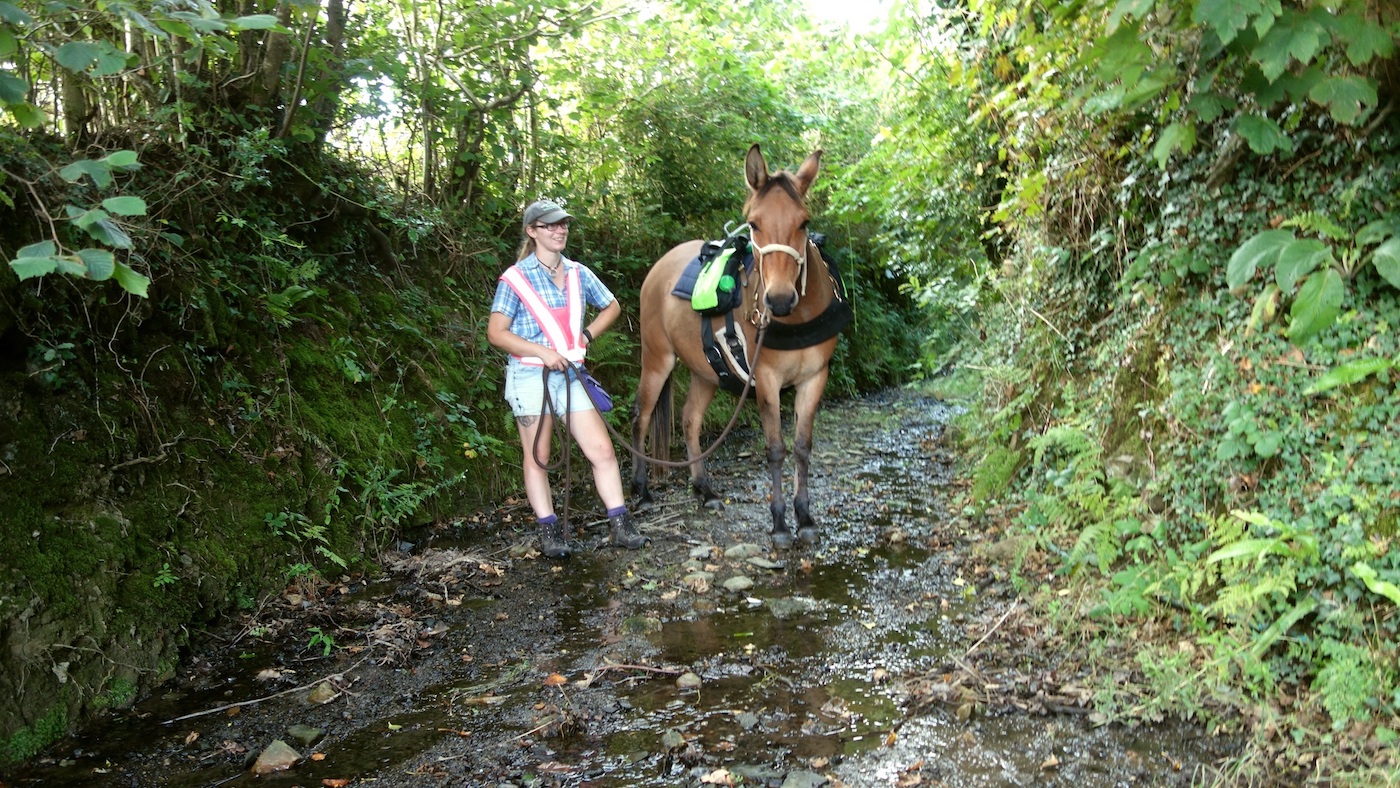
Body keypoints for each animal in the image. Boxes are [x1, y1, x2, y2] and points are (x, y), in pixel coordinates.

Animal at [630, 144, 851, 548]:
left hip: (705, 371)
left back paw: (704, 490)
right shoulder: (766, 382)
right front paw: (779, 524)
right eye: (754, 223)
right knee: (641, 416)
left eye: (804, 222)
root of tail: (660, 267)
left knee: (690, 420)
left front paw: (805, 517)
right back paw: (642, 490)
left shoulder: (815, 378)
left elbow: (803, 447)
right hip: (657, 360)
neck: (796, 318)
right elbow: (776, 449)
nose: (779, 299)